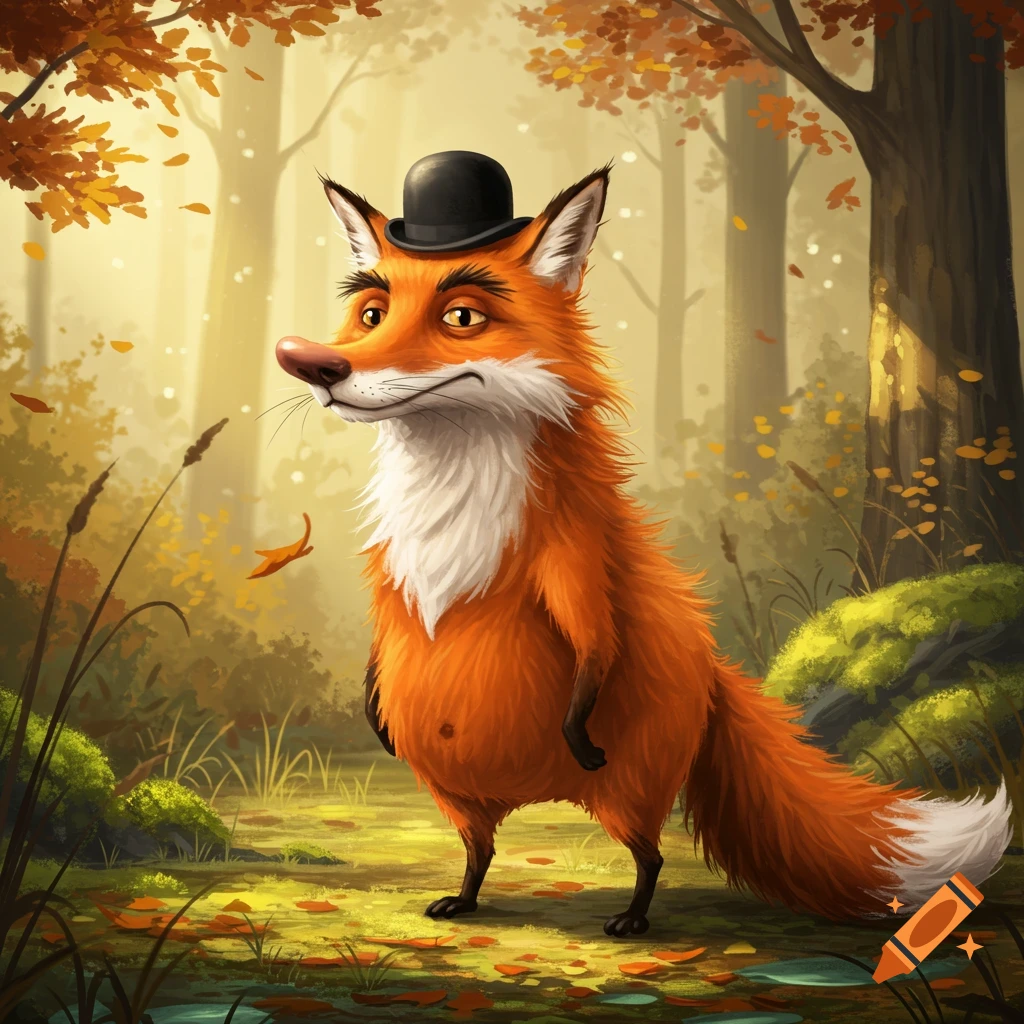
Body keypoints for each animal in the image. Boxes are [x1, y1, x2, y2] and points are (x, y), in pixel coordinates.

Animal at [275, 154, 1012, 937]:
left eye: (462, 317)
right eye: (371, 315)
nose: (315, 365)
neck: (452, 505)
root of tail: (713, 669)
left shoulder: (574, 561)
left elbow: (595, 640)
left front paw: (578, 727)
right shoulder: (392, 584)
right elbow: (381, 653)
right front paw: (373, 712)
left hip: (627, 790)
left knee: (650, 855)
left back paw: (631, 917)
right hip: (453, 787)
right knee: (481, 847)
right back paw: (465, 901)